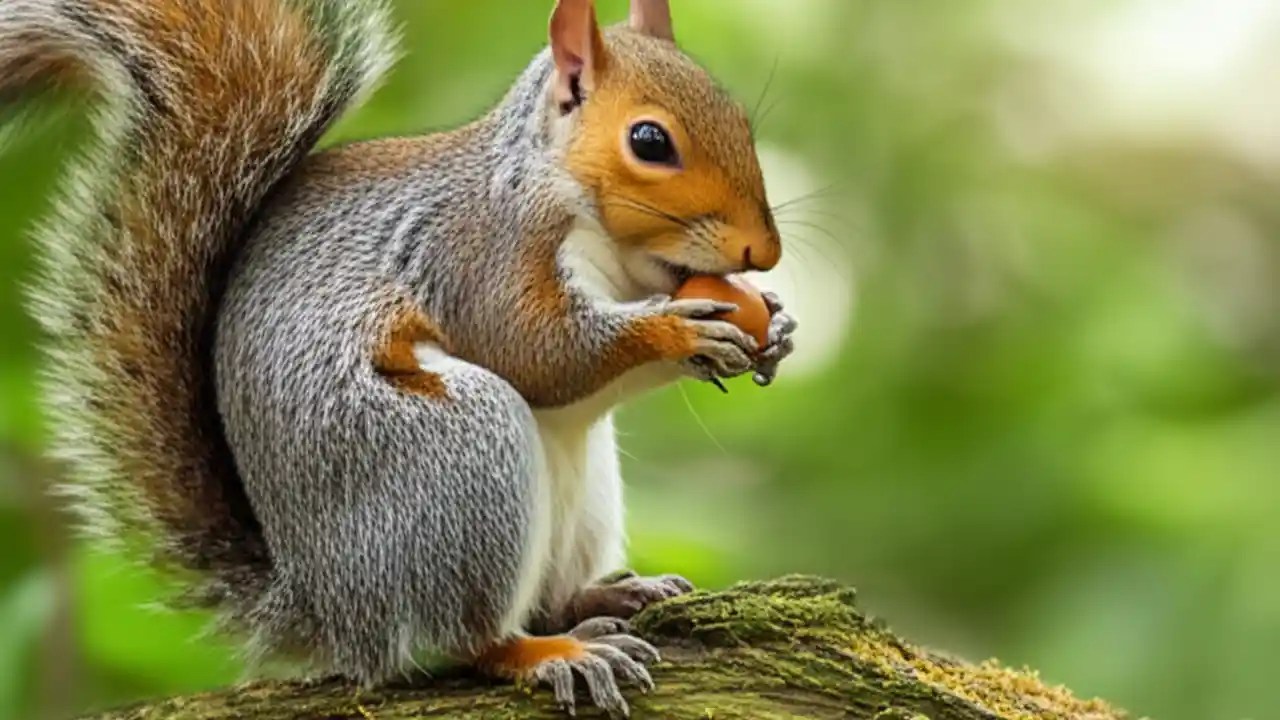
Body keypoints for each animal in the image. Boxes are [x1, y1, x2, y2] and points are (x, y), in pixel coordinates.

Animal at [0, 0, 797, 716]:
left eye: (738, 117)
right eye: (649, 141)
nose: (763, 251)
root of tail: (336, 615)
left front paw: (777, 325)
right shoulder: (479, 251)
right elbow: (538, 351)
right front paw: (679, 333)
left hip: (584, 488)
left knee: (548, 597)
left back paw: (610, 593)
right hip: (457, 460)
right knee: (471, 636)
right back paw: (549, 654)